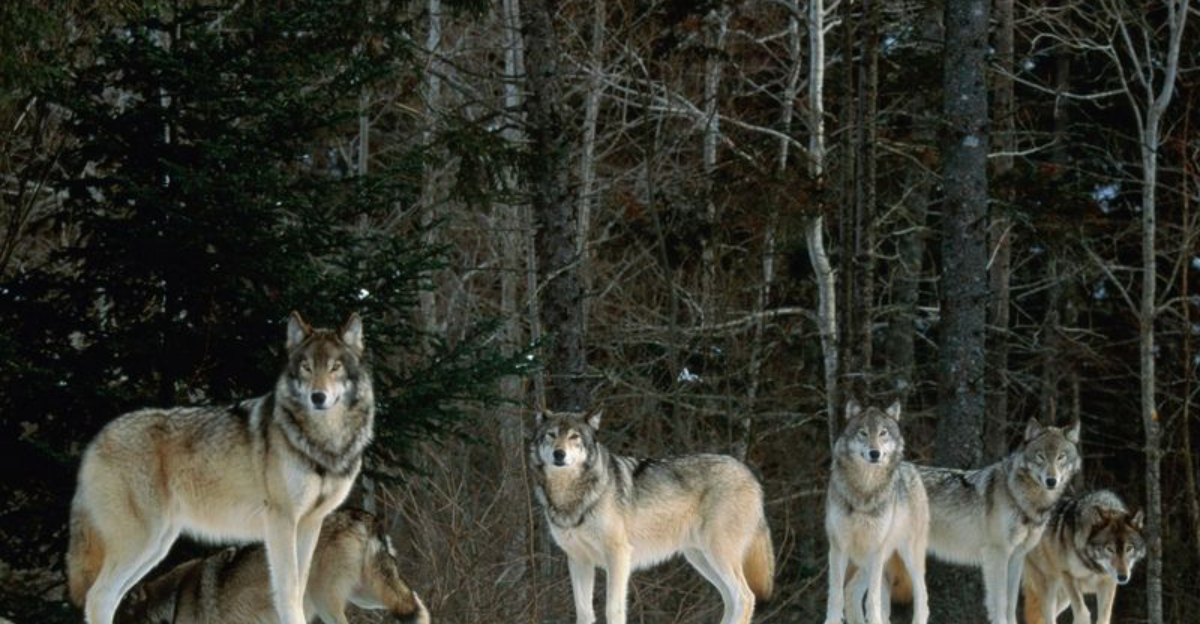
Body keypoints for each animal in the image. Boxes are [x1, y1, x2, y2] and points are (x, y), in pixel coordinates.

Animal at [67, 312, 374, 624]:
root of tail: (96, 440)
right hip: (141, 542)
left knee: (110, 597)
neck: (322, 442)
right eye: (307, 368)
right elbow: (288, 591)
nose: (318, 397)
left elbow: (299, 590)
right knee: (98, 596)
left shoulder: (310, 523)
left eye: (335, 367)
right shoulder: (282, 520)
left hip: (157, 547)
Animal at [530, 409, 774, 624]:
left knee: (745, 597)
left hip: (718, 555)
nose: (559, 454)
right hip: (700, 559)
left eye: (574, 437)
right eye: (551, 435)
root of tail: (750, 474)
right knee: (730, 600)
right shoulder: (579, 560)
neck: (570, 495)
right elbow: (583, 613)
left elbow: (613, 609)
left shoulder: (618, 555)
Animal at [824, 400, 928, 624]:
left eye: (883, 433)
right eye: (863, 433)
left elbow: (873, 598)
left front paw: (874, 619)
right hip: (866, 559)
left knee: (922, 596)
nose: (875, 453)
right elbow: (836, 593)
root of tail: (912, 467)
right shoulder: (839, 546)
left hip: (908, 556)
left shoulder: (876, 549)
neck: (865, 490)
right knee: (851, 591)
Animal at [898, 419, 1082, 624]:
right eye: (1040, 456)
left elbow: (1011, 602)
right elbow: (1000, 601)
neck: (1020, 497)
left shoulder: (1017, 556)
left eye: (1061, 457)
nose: (1051, 481)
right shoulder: (997, 554)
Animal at [1022, 490, 1144, 624]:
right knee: (1046, 615)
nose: (1122, 577)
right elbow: (1082, 612)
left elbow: (1104, 617)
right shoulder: (1068, 575)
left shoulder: (1108, 582)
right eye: (1109, 549)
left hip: (1063, 598)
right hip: (1049, 588)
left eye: (1129, 548)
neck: (1094, 565)